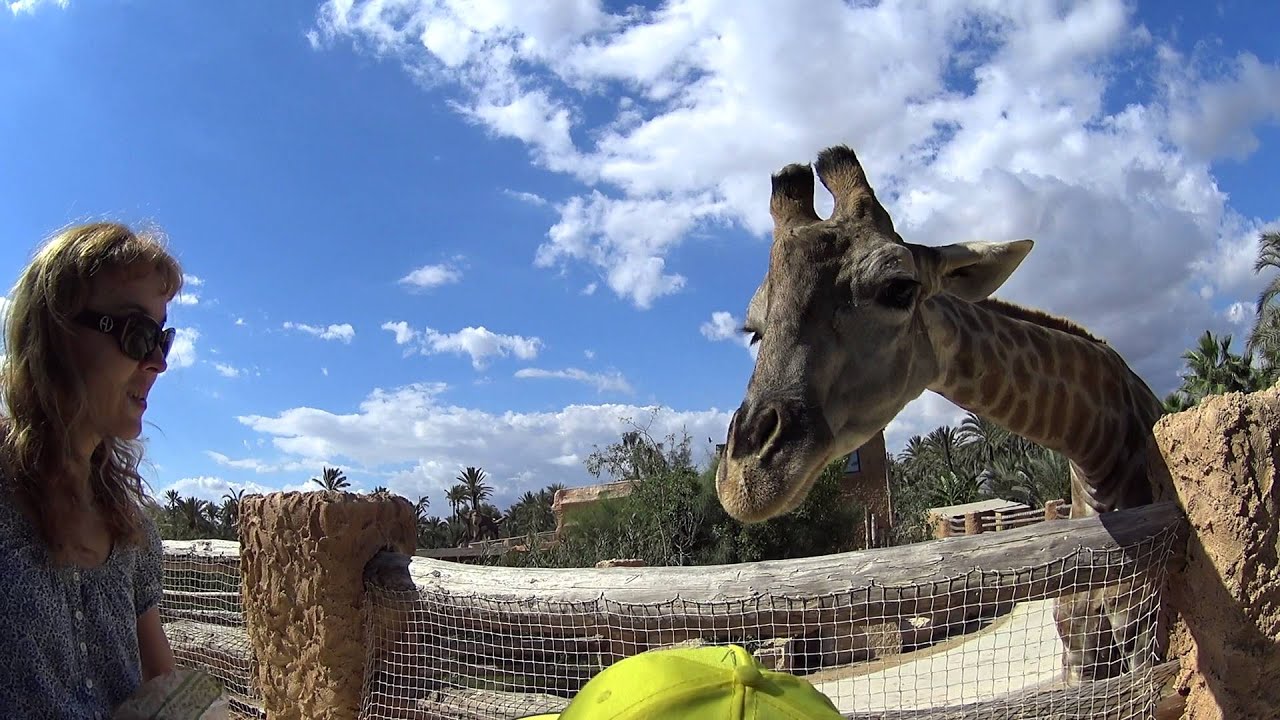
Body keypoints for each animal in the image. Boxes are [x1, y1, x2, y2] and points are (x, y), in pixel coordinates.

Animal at [714, 144, 1172, 684]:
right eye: (754, 331)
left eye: (898, 288)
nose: (745, 480)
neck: (1097, 452)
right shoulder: (1078, 646)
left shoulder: (1144, 634)